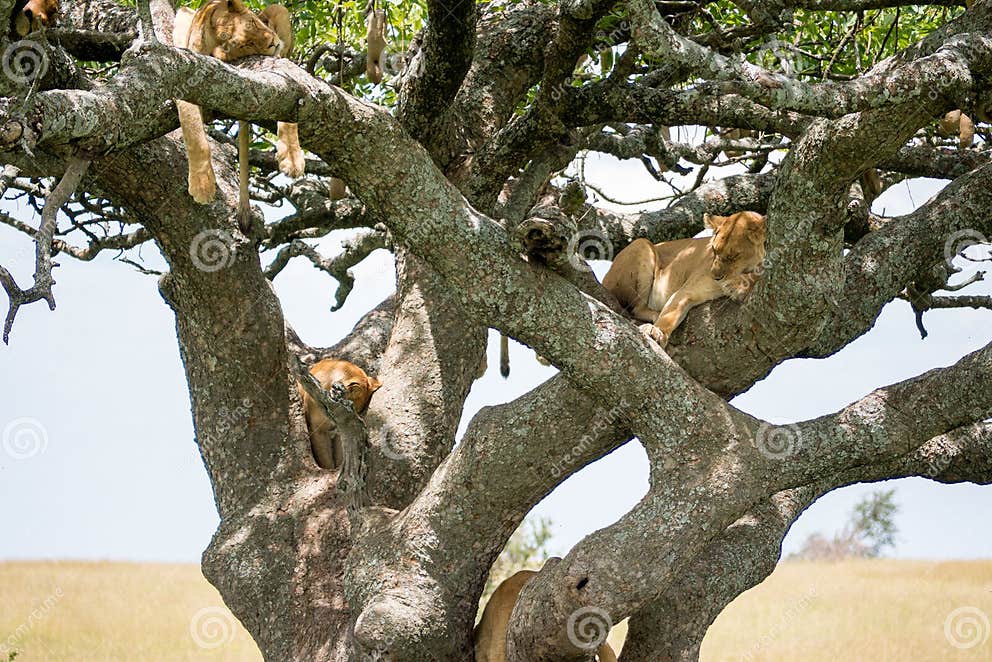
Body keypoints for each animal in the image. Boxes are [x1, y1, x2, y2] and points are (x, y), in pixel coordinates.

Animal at [173, 0, 305, 228]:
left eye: (254, 22)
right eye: (246, 44)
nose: (272, 43)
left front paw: (292, 159)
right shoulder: (184, 78)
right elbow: (195, 136)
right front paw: (202, 185)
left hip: (279, 10)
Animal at [602, 211, 766, 348]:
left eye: (734, 256)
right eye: (714, 250)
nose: (715, 277)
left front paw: (739, 285)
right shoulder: (687, 291)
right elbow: (671, 314)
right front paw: (657, 332)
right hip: (642, 244)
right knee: (637, 308)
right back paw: (654, 317)